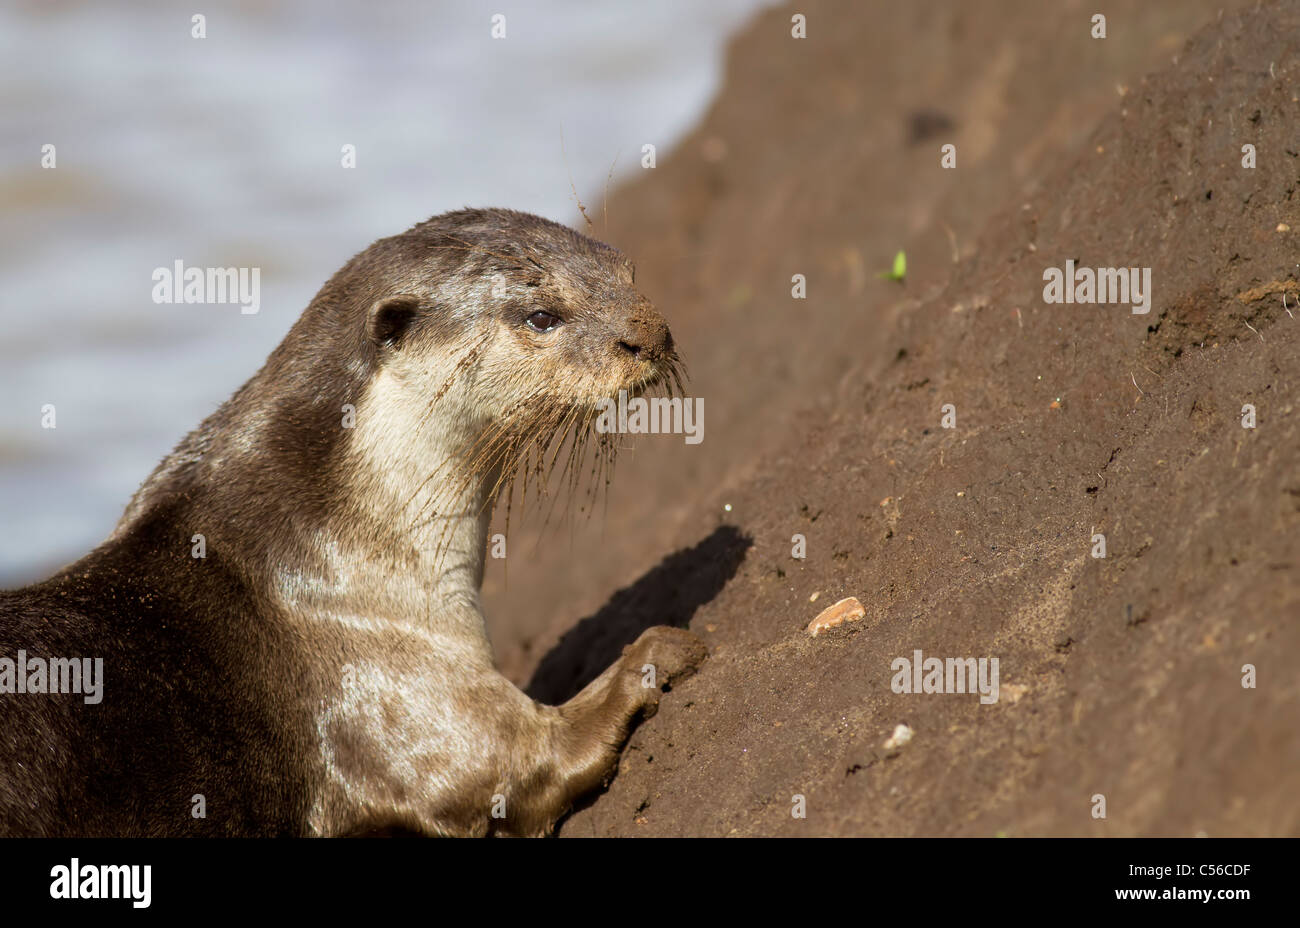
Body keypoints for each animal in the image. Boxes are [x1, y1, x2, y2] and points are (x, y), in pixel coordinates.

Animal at [0, 208, 706, 837]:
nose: (651, 333)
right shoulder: (386, 680)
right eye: (542, 316)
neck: (319, 547)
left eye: (627, 270)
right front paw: (658, 653)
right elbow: (530, 760)